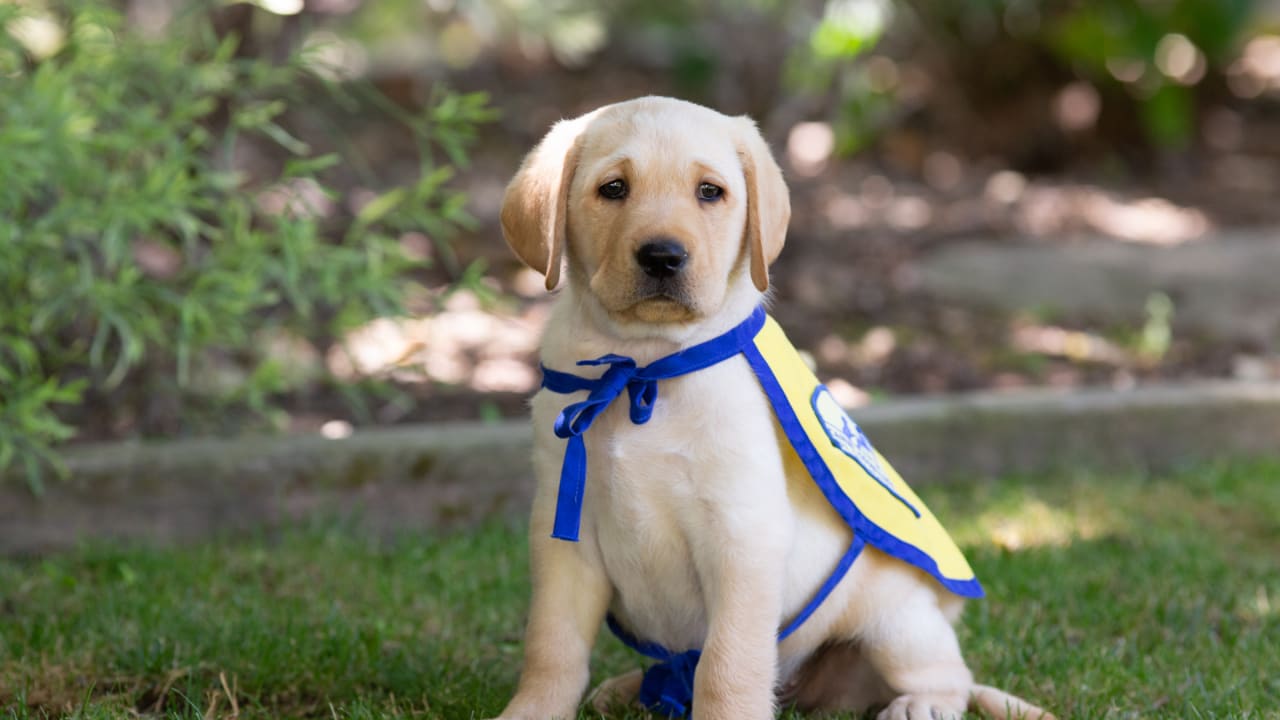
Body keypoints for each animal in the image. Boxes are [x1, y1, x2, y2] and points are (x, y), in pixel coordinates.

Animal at [488, 96, 1049, 717]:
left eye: (710, 192)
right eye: (613, 189)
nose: (662, 256)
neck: (645, 365)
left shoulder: (742, 534)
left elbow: (726, 662)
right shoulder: (564, 530)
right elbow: (553, 645)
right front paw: (533, 710)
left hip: (895, 624)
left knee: (950, 674)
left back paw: (920, 705)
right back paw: (629, 688)